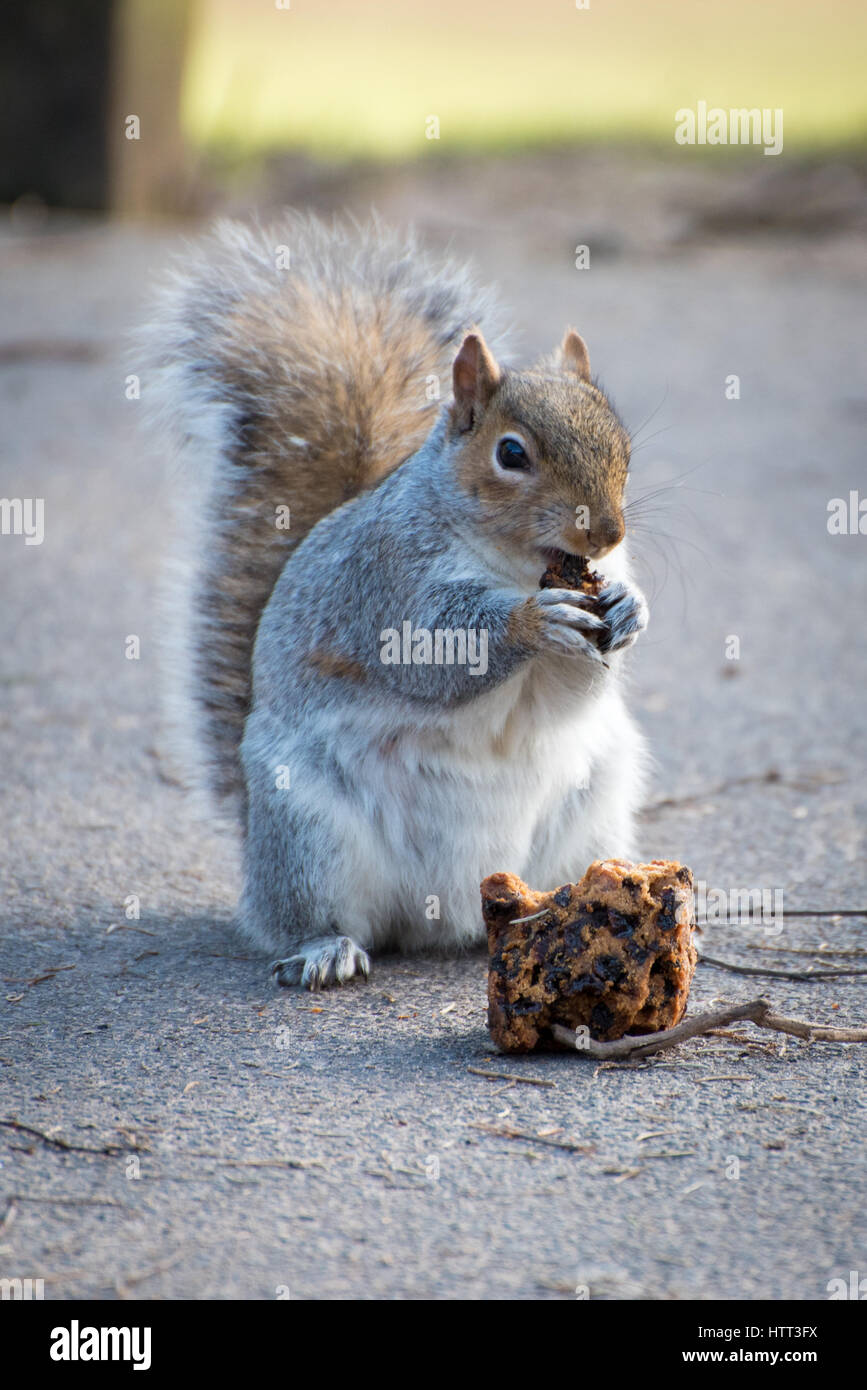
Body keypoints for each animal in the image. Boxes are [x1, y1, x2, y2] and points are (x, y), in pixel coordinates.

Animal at [146, 212, 649, 990]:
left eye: (622, 443)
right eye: (511, 454)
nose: (608, 532)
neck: (519, 565)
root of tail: (445, 913)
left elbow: (574, 691)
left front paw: (628, 606)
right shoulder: (384, 582)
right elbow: (434, 651)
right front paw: (533, 622)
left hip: (591, 807)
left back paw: (570, 911)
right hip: (309, 828)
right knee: (312, 914)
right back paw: (324, 948)